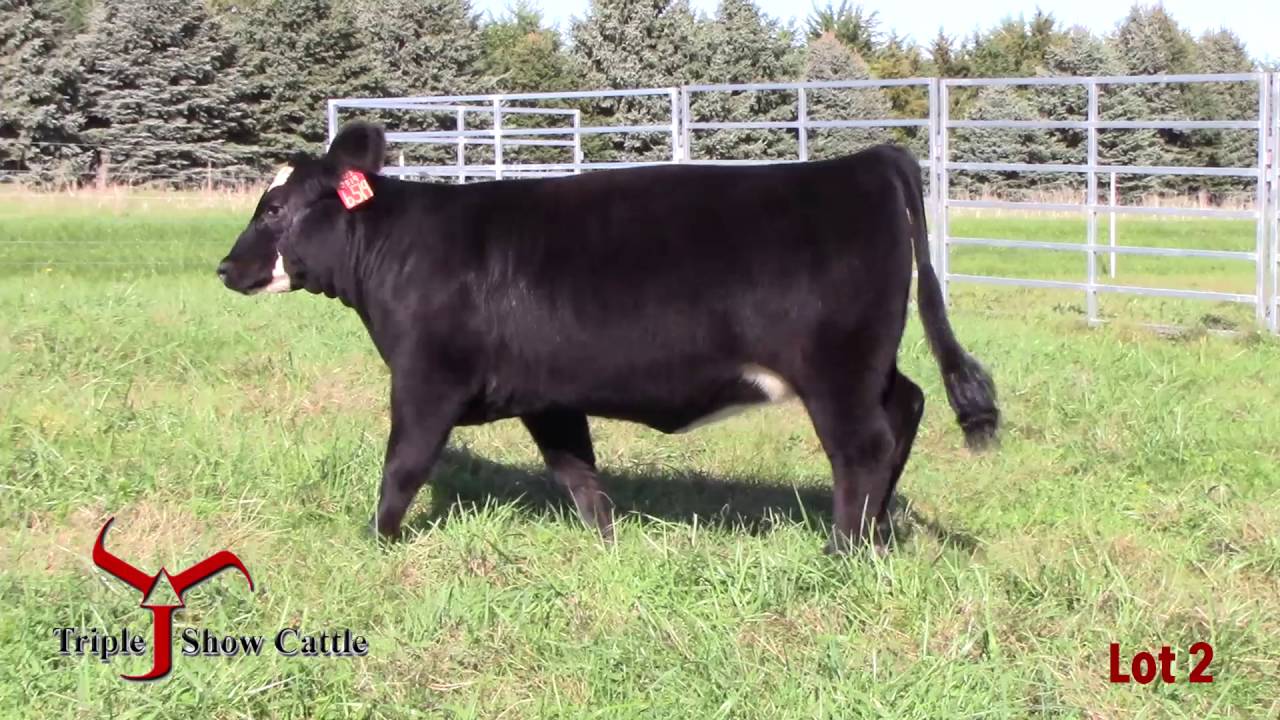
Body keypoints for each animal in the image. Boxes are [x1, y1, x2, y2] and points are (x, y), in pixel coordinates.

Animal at [217, 121, 999, 554]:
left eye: (276, 207)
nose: (226, 267)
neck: (404, 246)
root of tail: (865, 161)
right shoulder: (547, 394)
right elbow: (579, 474)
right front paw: (610, 545)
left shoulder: (425, 379)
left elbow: (402, 467)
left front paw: (374, 544)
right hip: (870, 364)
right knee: (905, 408)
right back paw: (877, 531)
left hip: (836, 369)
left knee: (862, 445)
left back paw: (844, 551)